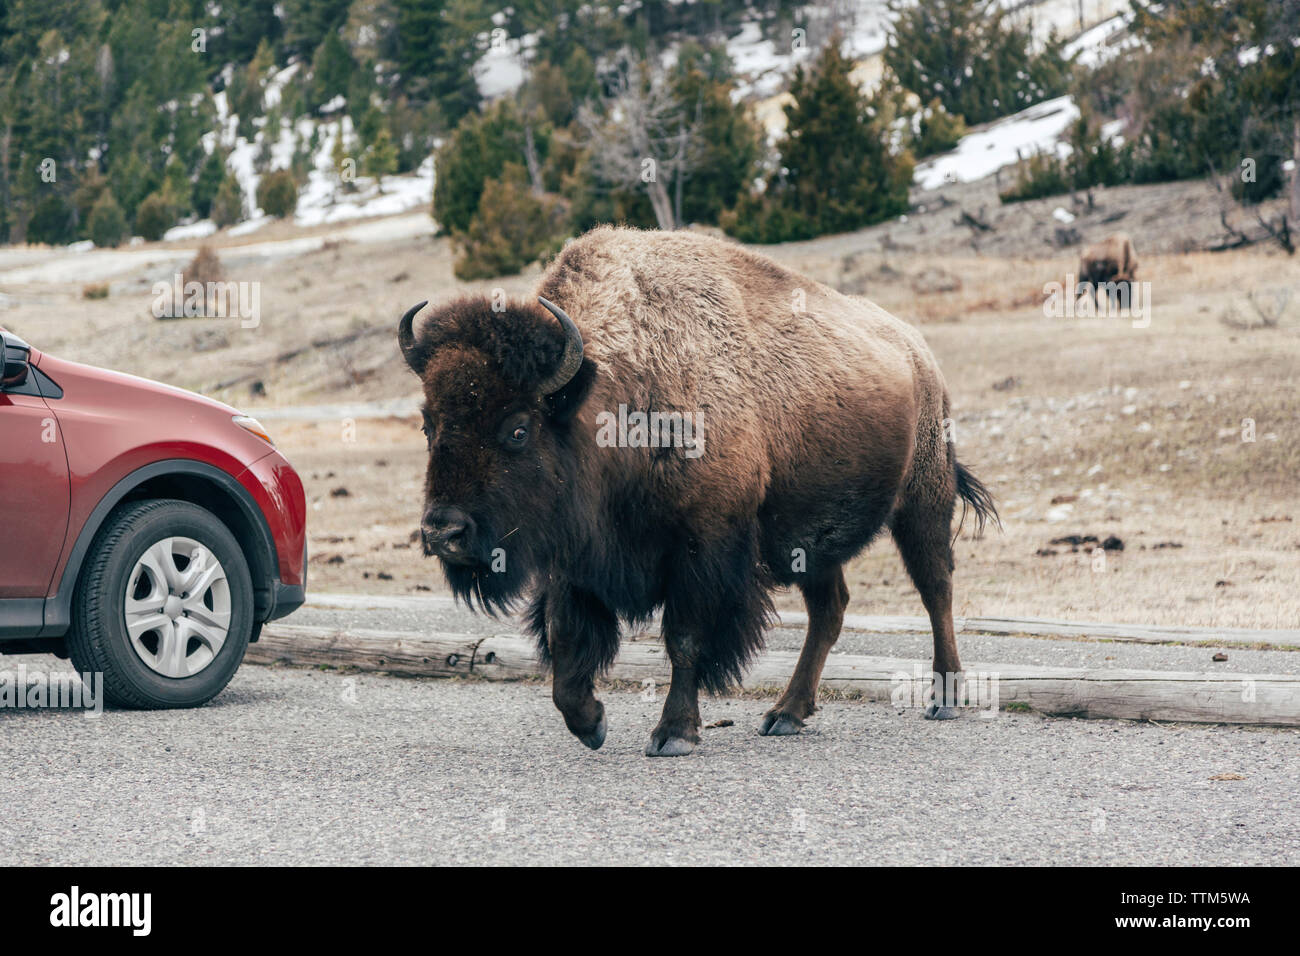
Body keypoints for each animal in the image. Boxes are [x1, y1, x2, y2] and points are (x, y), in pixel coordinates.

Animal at [399, 226, 997, 756]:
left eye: (519, 429)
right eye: (428, 425)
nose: (443, 531)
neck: (615, 394)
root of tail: (919, 354)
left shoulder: (702, 548)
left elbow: (684, 639)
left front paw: (674, 735)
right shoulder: (576, 557)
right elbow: (564, 637)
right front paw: (591, 724)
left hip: (922, 502)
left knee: (935, 587)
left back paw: (944, 699)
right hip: (809, 539)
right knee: (830, 611)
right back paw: (785, 714)